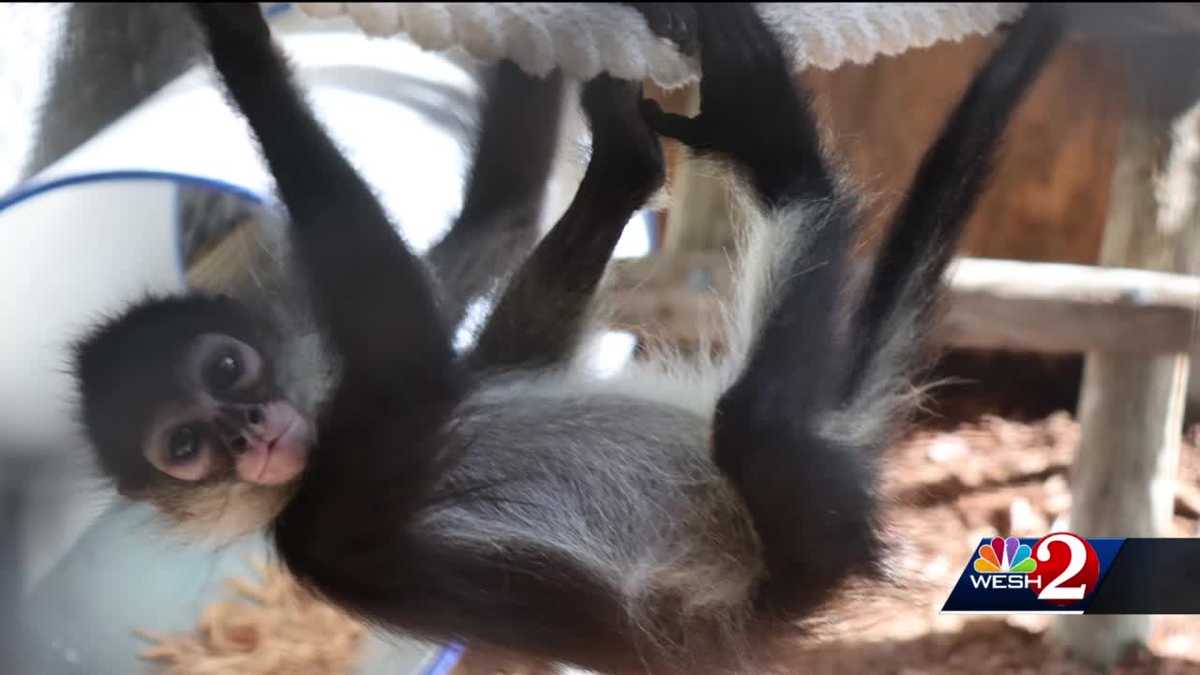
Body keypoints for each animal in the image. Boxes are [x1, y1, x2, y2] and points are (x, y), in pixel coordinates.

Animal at [72, 3, 1062, 674]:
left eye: (227, 366)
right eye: (186, 446)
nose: (246, 432)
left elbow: (503, 219)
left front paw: (618, 146)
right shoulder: (323, 519)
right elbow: (416, 369)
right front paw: (236, 40)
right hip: (797, 542)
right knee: (759, 423)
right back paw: (781, 154)